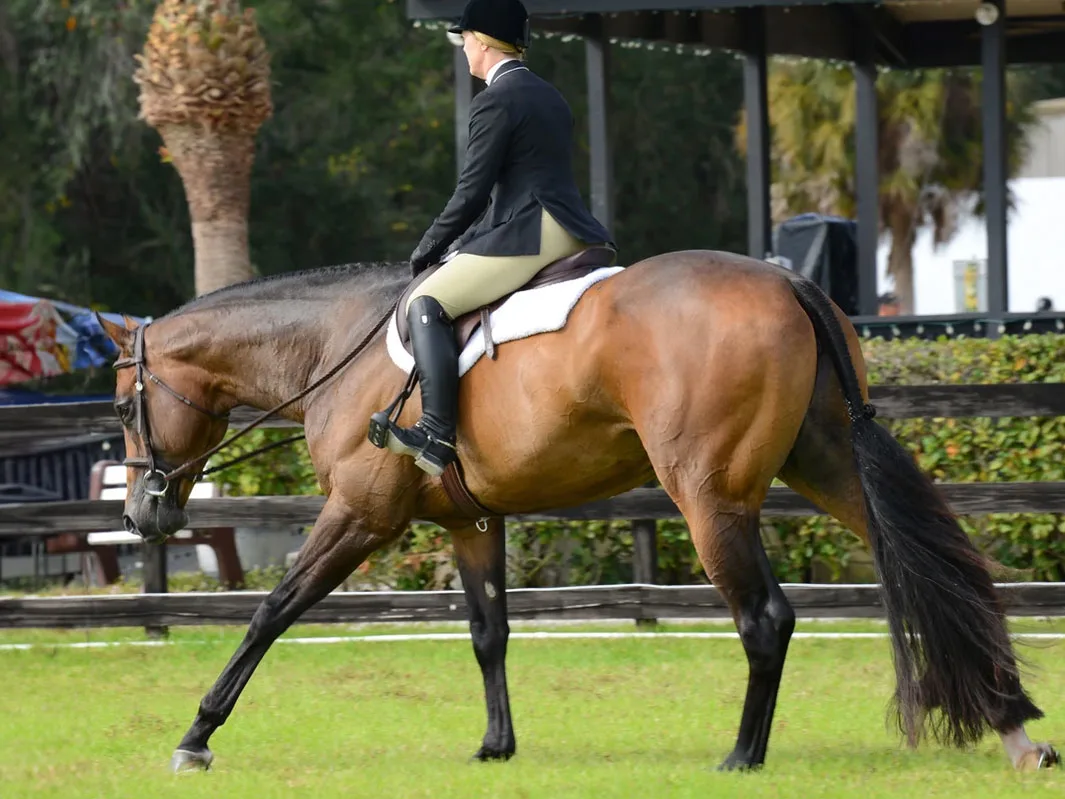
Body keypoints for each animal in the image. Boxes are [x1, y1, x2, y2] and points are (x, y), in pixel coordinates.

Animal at [97, 248, 1058, 774]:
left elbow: (269, 612)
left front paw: (196, 734)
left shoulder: (361, 515)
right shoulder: (471, 522)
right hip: (825, 464)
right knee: (939, 575)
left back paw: (741, 755)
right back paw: (1014, 729)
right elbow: (488, 632)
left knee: (765, 617)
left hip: (708, 495)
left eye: (121, 406)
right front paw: (496, 744)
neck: (337, 345)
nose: (145, 513)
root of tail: (786, 283)